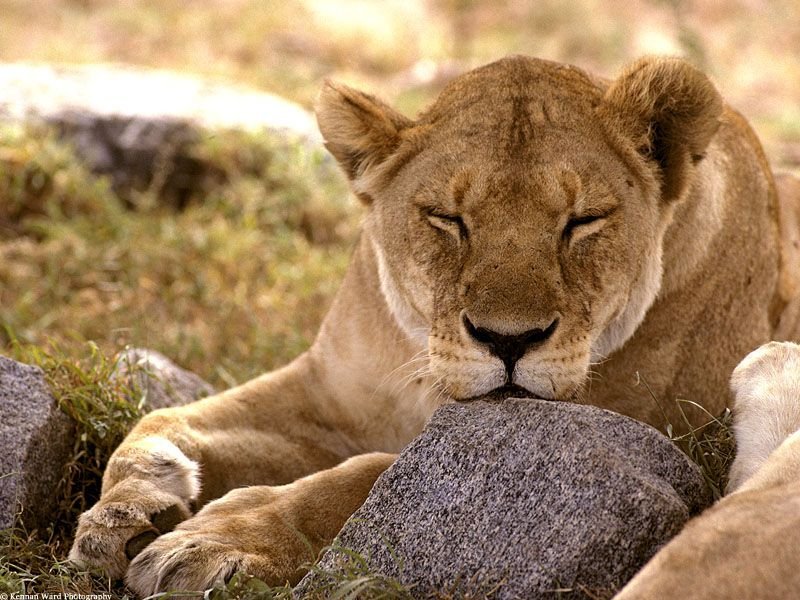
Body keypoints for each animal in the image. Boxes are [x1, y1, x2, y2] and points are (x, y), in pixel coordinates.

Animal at [67, 55, 799, 595]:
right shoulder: (328, 393)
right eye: (447, 219)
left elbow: (365, 477)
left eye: (582, 221)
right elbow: (163, 421)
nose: (509, 340)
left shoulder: (643, 435)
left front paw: (217, 540)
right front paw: (128, 508)